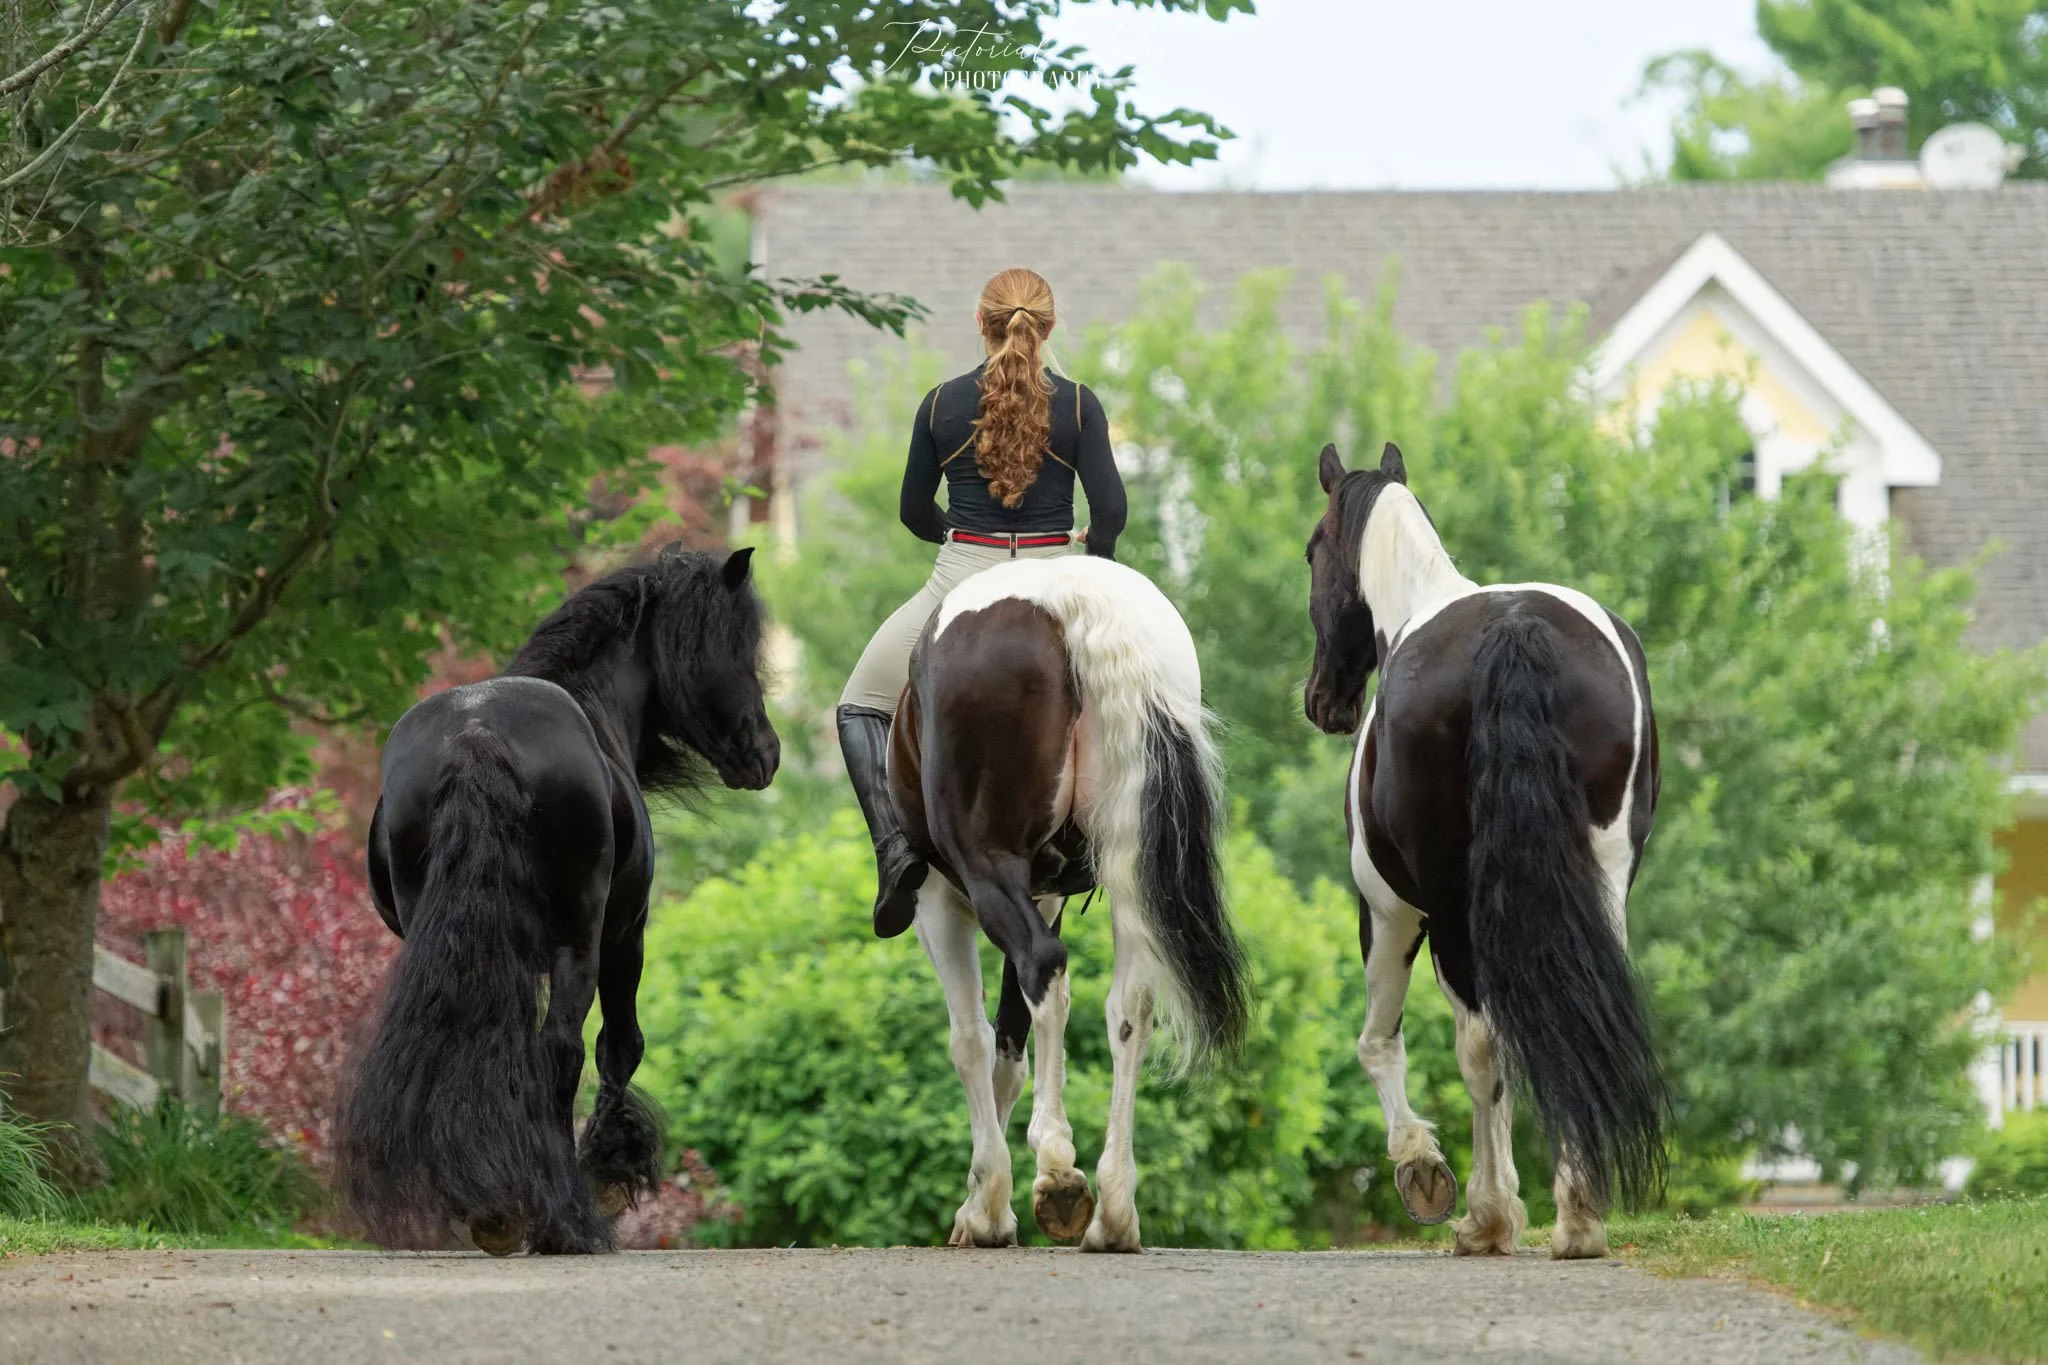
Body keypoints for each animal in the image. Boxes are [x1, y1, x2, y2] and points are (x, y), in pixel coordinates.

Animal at [337, 545, 780, 1255]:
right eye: (736, 649)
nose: (766, 753)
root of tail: (477, 734)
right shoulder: (626, 937)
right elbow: (620, 1047)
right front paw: (609, 1167)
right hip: (580, 941)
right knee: (559, 1051)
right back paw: (562, 1218)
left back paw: (494, 1208)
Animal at [887, 554, 1251, 1252]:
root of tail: (1069, 596)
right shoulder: (1047, 890)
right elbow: (1010, 1049)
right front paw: (990, 1198)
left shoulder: (938, 900)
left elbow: (972, 1041)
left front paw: (985, 1207)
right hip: (1130, 862)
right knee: (1129, 1009)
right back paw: (1114, 1212)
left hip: (986, 866)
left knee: (1044, 965)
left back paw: (1057, 1170)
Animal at [1302, 442, 1666, 1260]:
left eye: (1313, 551)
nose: (1323, 701)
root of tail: (1515, 628)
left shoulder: (1390, 909)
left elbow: (1380, 1043)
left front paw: (1429, 1173)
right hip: (1599, 881)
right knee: (1583, 1016)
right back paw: (1580, 1213)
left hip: (1445, 906)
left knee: (1482, 1043)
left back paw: (1492, 1213)